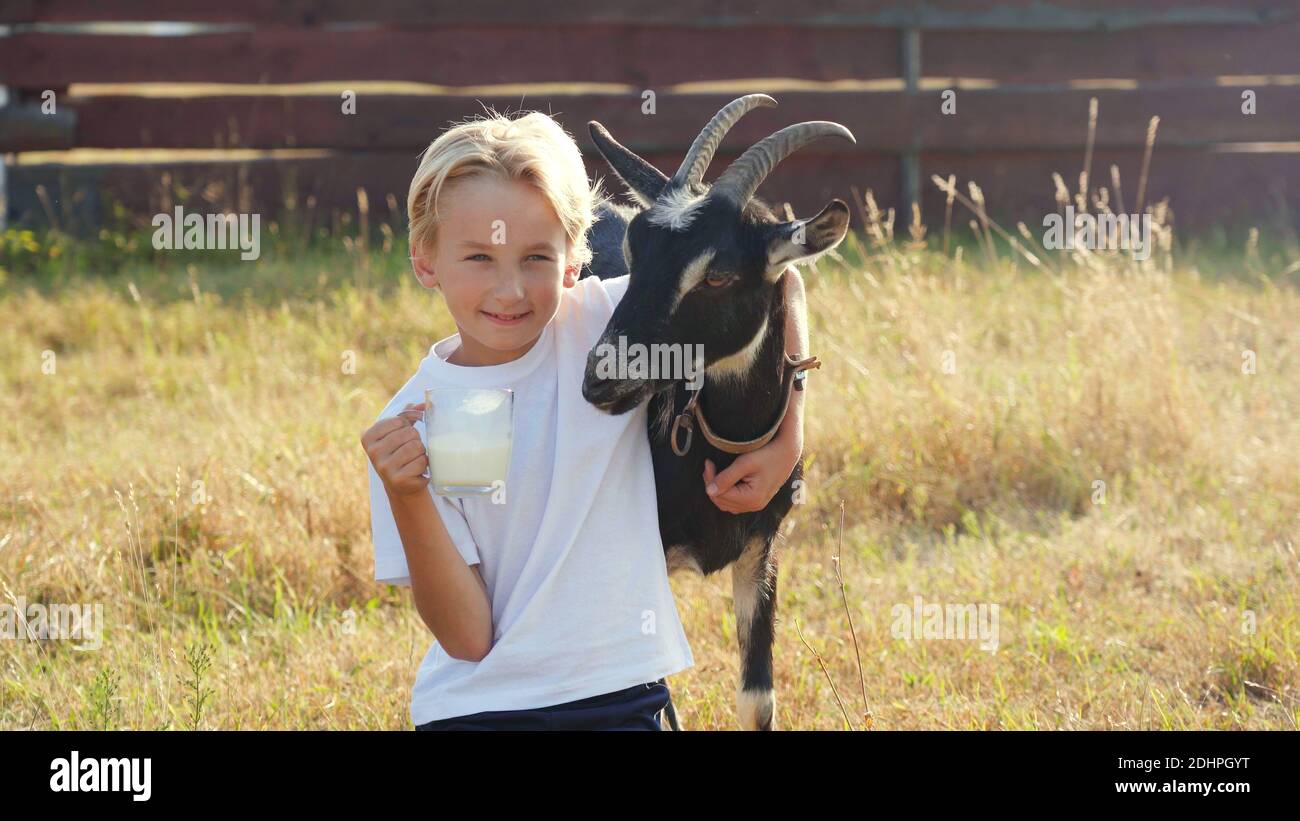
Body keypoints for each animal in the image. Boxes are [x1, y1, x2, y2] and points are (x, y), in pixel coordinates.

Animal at [579, 94, 854, 730]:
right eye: (634, 251)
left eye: (719, 273)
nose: (600, 378)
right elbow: (651, 690)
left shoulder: (763, 548)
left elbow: (757, 698)